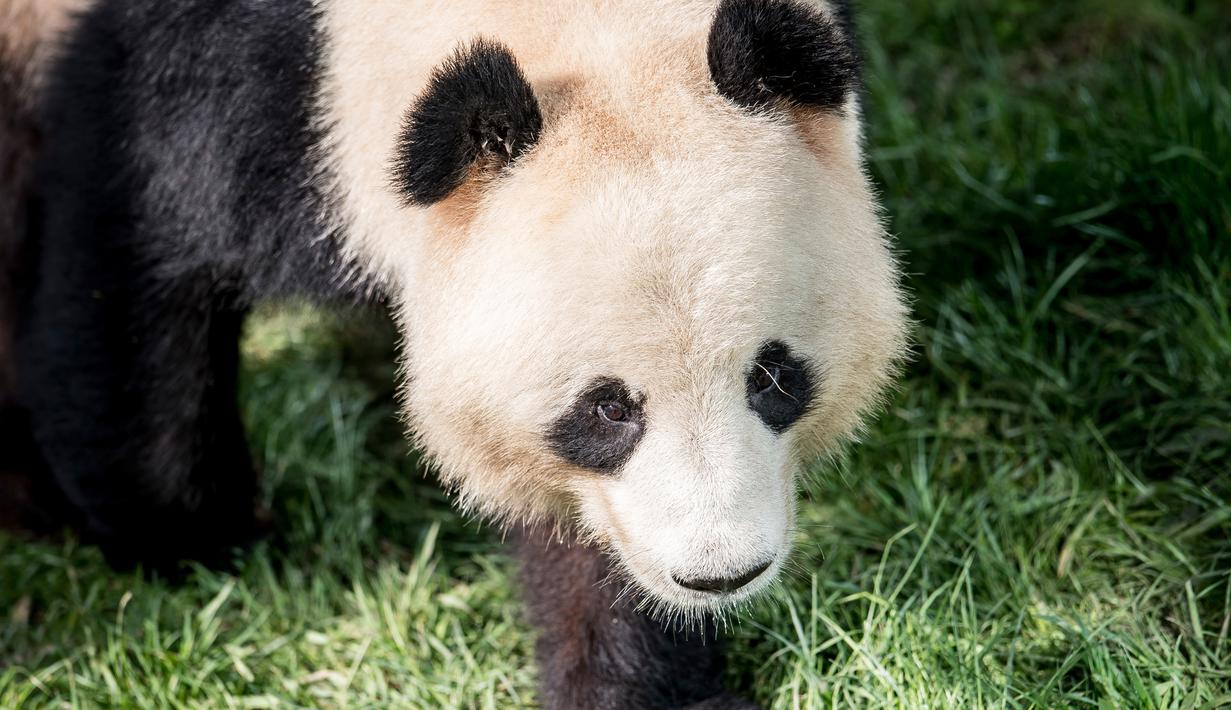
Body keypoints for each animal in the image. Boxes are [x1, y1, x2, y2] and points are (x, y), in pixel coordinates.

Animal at [0, 0, 909, 707]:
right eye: (607, 408)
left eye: (773, 377)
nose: (718, 573)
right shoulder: (204, 79)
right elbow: (129, 267)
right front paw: (198, 544)